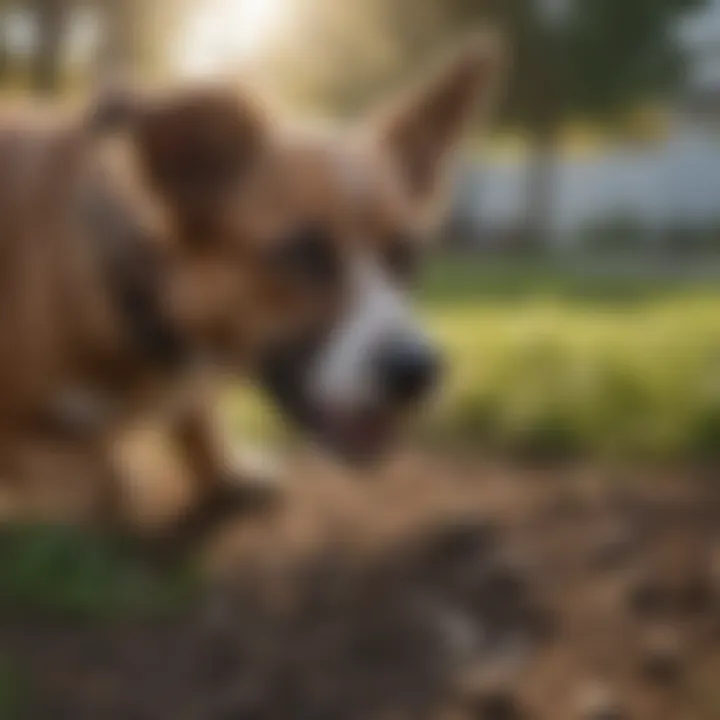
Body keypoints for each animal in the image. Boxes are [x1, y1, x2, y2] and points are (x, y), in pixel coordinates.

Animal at [0, 35, 500, 536]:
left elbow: (194, 420)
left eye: (405, 253)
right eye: (302, 252)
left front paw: (223, 474)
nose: (418, 372)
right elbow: (103, 482)